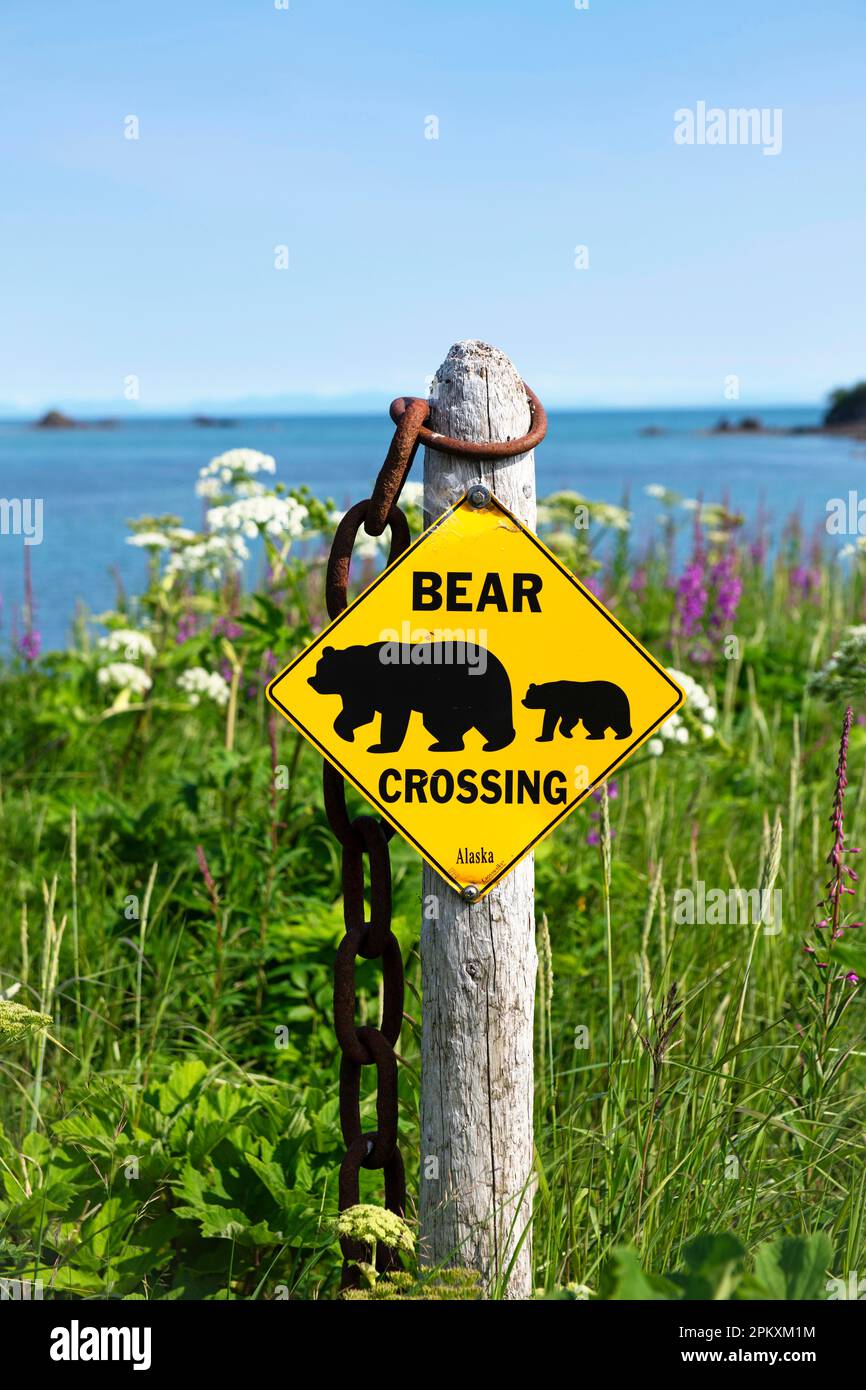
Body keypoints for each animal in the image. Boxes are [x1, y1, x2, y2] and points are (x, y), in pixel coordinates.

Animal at [307, 641, 515, 754]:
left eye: (322, 669)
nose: (311, 680)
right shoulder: (359, 694)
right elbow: (358, 713)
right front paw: (347, 734)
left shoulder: (388, 691)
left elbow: (392, 719)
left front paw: (381, 746)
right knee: (442, 726)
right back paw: (444, 745)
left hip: (478, 692)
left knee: (491, 720)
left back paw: (495, 743)